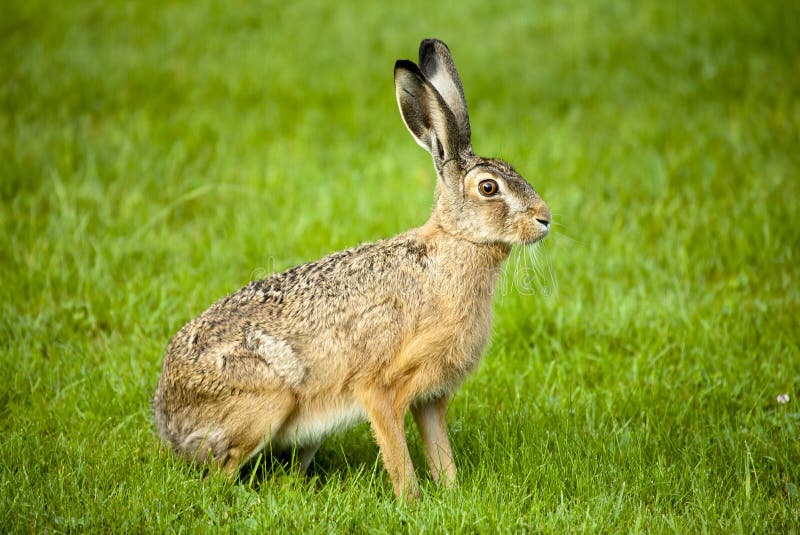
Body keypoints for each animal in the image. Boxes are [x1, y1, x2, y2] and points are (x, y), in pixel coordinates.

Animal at [153, 38, 551, 500]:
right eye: (489, 188)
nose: (545, 218)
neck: (455, 243)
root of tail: (167, 420)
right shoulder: (380, 388)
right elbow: (397, 455)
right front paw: (412, 503)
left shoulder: (431, 397)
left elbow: (441, 453)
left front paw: (452, 494)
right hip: (267, 401)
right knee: (220, 475)